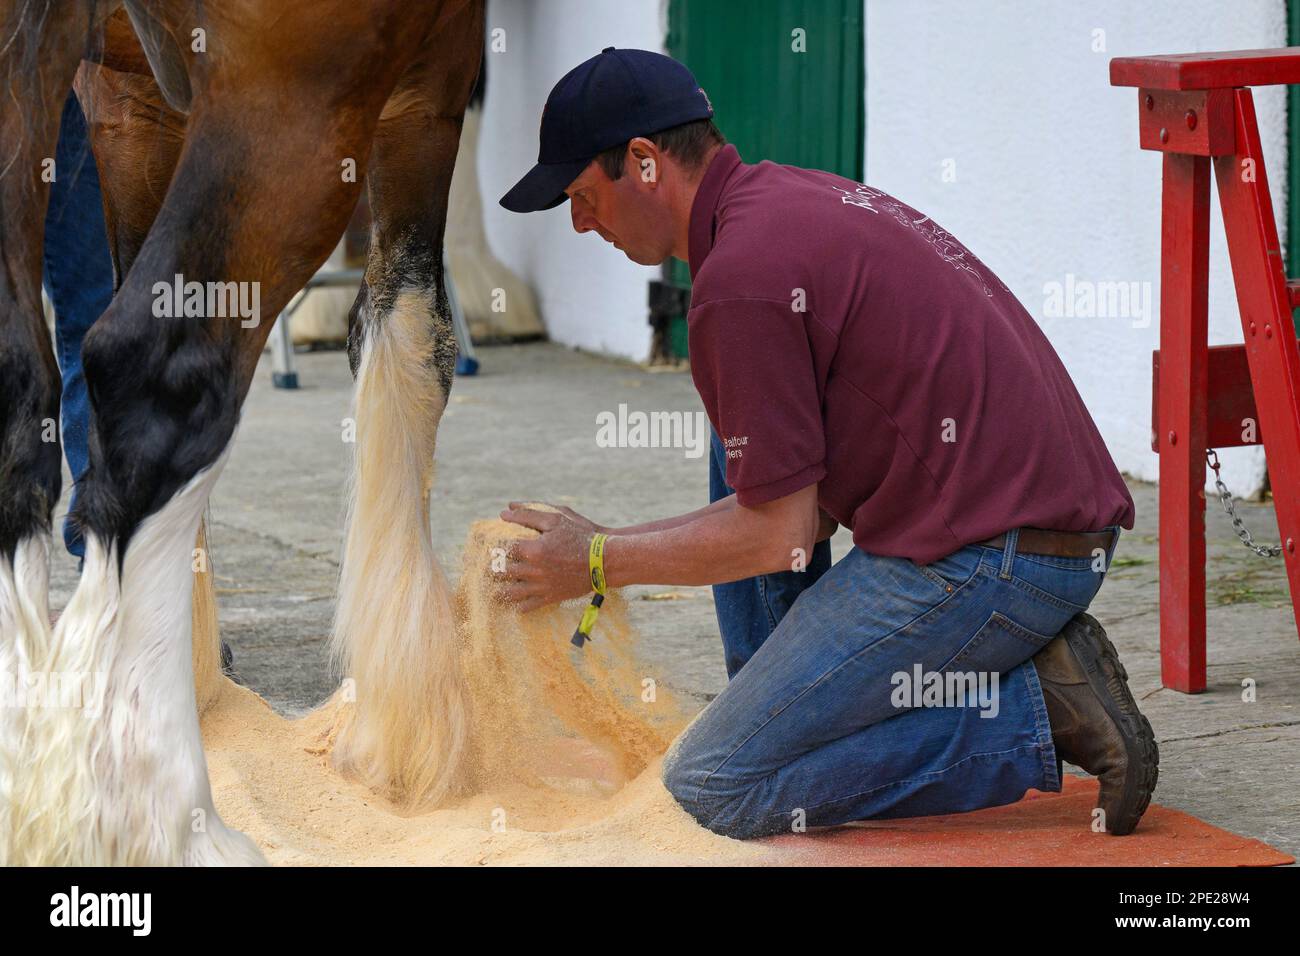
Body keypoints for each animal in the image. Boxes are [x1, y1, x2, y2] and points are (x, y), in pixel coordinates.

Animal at [0, 0, 484, 865]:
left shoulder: (128, 103)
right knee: (157, 369)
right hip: (296, 99)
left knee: (23, 382)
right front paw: (405, 731)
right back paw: (169, 824)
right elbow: (411, 334)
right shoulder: (430, 83)